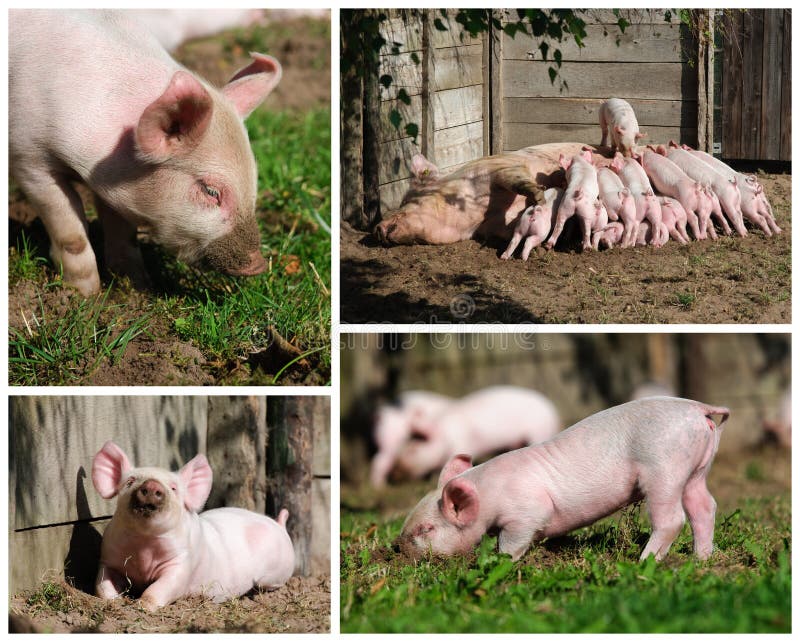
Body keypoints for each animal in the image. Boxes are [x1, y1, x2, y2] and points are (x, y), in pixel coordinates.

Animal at [9, 10, 280, 296]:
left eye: (254, 179)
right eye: (210, 190)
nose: (258, 265)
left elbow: (123, 232)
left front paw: (137, 286)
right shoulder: (28, 157)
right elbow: (71, 232)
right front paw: (86, 295)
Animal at [92, 440, 294, 610]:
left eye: (173, 488)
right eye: (130, 481)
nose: (151, 485)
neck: (144, 546)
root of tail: (279, 525)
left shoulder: (184, 561)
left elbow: (165, 584)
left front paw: (143, 606)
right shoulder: (108, 557)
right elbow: (102, 582)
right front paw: (113, 602)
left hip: (277, 572)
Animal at [374, 143, 610, 246]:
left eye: (408, 200)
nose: (377, 228)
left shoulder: (500, 166)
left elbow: (515, 180)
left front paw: (538, 197)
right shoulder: (490, 228)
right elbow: (510, 231)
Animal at [391, 386, 561, 482]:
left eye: (413, 450)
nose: (394, 474)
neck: (445, 435)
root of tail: (553, 411)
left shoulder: (461, 444)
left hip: (539, 430)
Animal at [396, 397, 729, 562]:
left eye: (426, 529)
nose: (396, 548)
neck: (488, 494)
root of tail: (698, 408)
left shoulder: (526, 511)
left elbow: (512, 540)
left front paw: (500, 561)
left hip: (664, 468)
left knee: (672, 519)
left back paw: (643, 562)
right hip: (696, 469)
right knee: (705, 507)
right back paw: (701, 560)